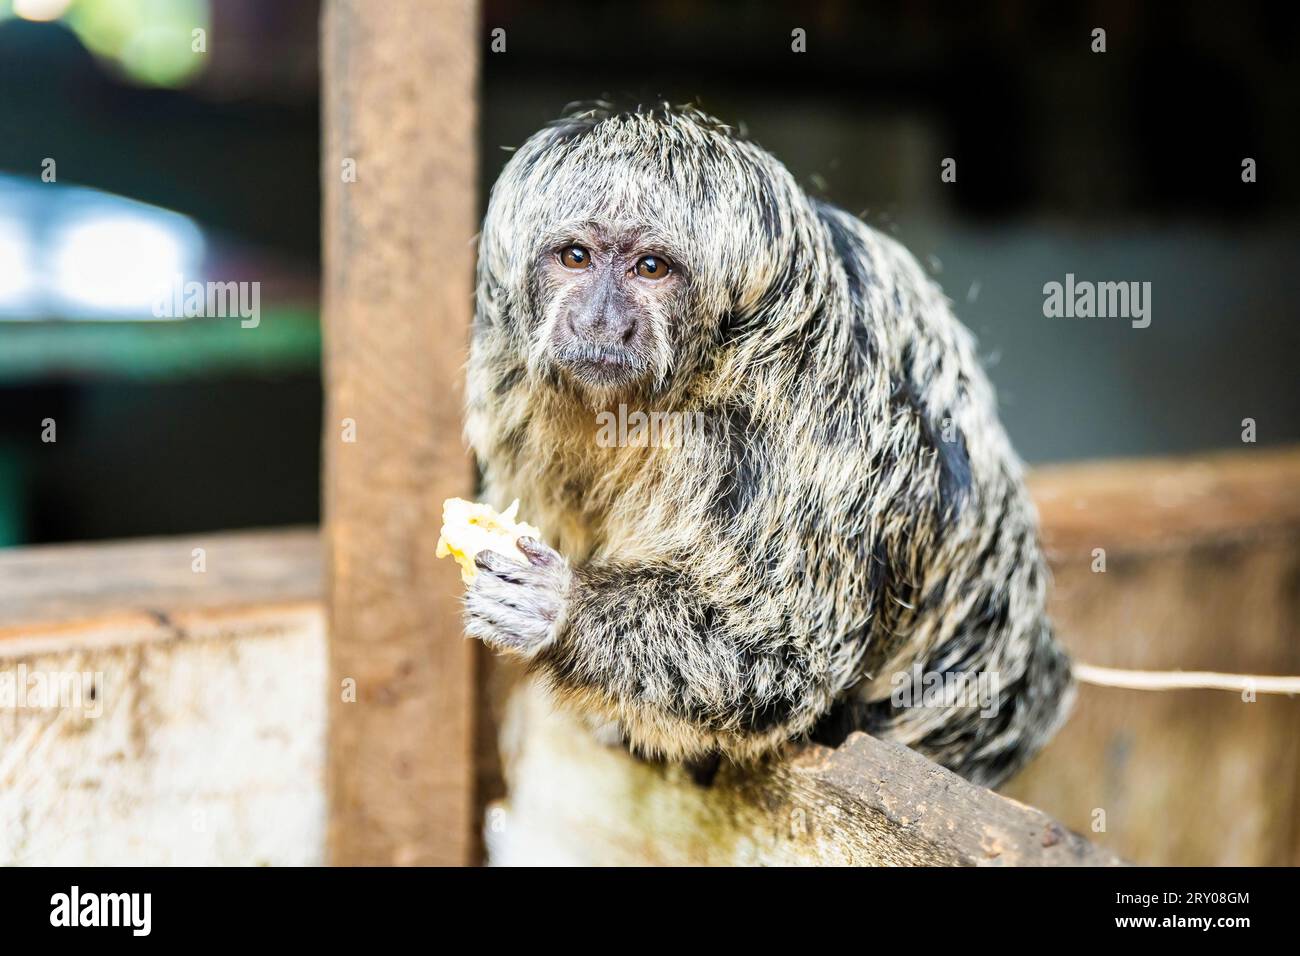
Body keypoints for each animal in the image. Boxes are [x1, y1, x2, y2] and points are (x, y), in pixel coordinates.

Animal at [462, 104, 1074, 789]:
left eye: (650, 268)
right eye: (575, 257)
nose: (600, 321)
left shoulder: (802, 414)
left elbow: (781, 656)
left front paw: (558, 608)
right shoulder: (514, 400)